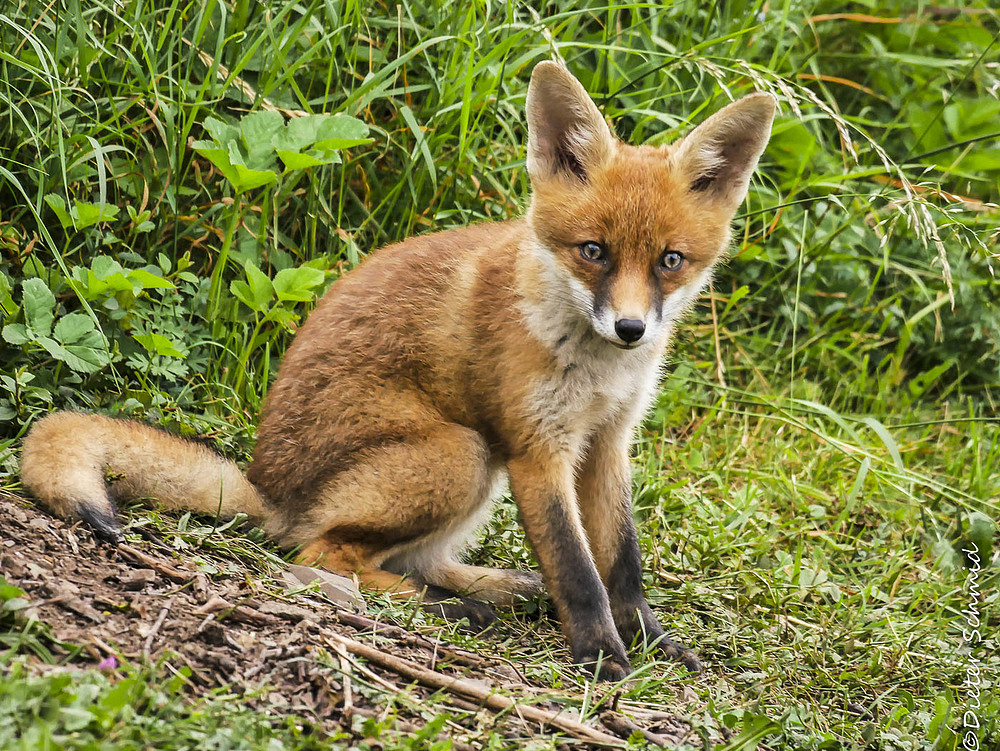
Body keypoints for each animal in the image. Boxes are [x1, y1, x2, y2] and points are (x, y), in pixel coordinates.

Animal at [20, 61, 774, 681]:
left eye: (669, 261)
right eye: (593, 251)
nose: (630, 329)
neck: (592, 366)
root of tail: (267, 485)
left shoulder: (609, 440)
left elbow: (620, 563)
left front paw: (649, 641)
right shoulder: (538, 449)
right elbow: (578, 568)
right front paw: (601, 656)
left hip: (475, 472)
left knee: (411, 558)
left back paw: (491, 588)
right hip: (463, 454)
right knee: (317, 558)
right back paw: (445, 608)